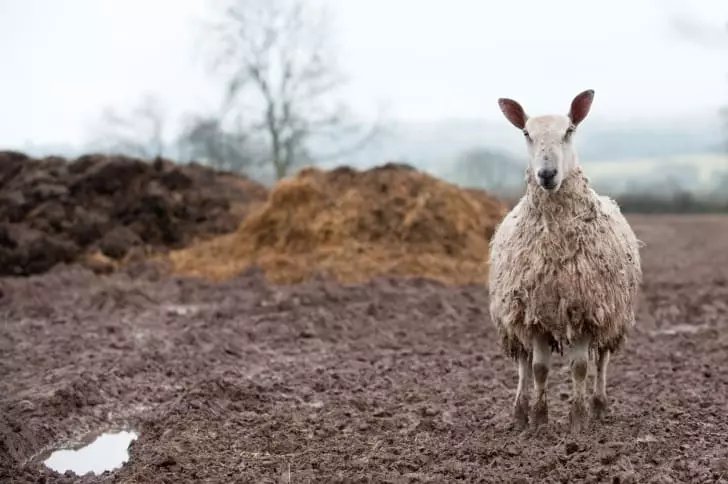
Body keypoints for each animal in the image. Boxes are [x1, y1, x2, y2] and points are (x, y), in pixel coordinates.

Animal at [490, 89, 644, 432]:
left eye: (569, 131)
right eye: (526, 133)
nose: (547, 174)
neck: (556, 242)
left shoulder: (585, 309)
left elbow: (580, 367)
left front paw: (578, 420)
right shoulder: (533, 314)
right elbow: (538, 369)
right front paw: (538, 418)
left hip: (611, 315)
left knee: (602, 360)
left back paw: (599, 405)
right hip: (515, 316)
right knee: (523, 364)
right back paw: (519, 412)